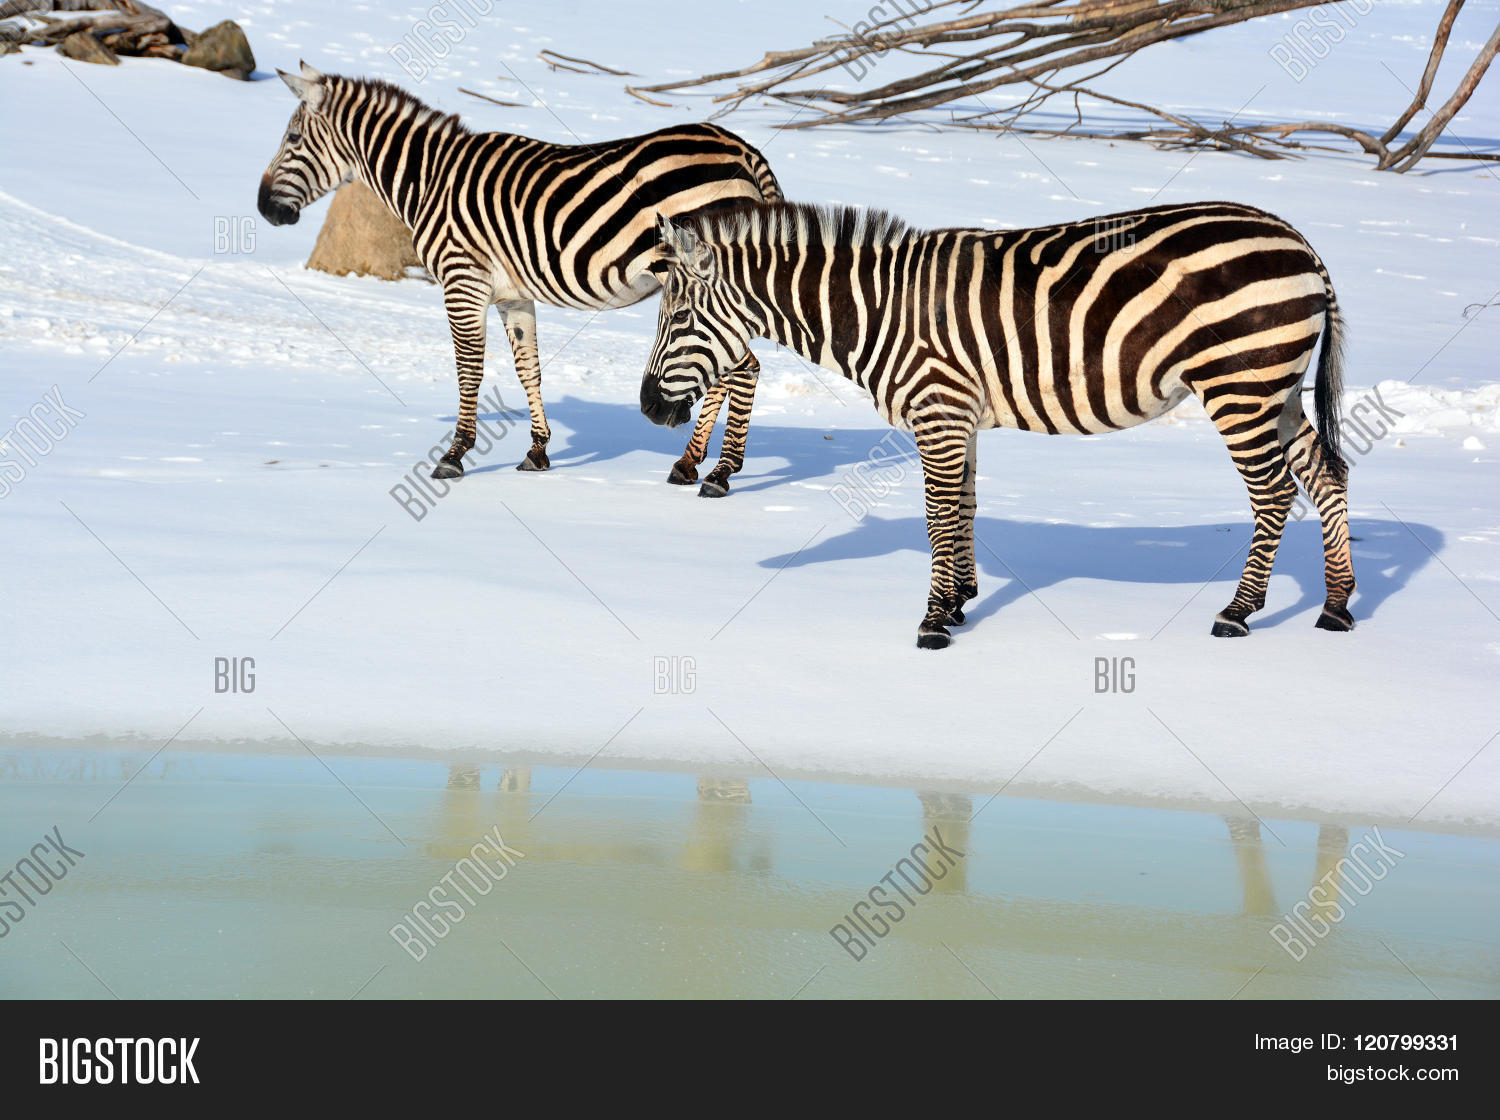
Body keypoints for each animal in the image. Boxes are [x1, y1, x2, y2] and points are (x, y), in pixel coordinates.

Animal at [256, 62, 781, 496]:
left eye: (293, 139)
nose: (263, 208)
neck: (431, 179)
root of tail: (743, 149)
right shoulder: (512, 295)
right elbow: (528, 367)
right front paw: (537, 451)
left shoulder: (461, 280)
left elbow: (469, 368)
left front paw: (454, 455)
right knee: (725, 367)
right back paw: (689, 464)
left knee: (741, 368)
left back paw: (714, 473)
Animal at [639, 201, 1355, 648]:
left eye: (677, 321)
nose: (647, 407)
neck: (879, 308)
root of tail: (1300, 243)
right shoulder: (960, 415)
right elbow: (964, 506)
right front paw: (960, 602)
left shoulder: (938, 407)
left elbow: (937, 514)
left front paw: (932, 622)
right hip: (1277, 389)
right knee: (1327, 474)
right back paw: (1337, 606)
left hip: (1240, 384)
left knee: (1274, 494)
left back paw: (1238, 614)